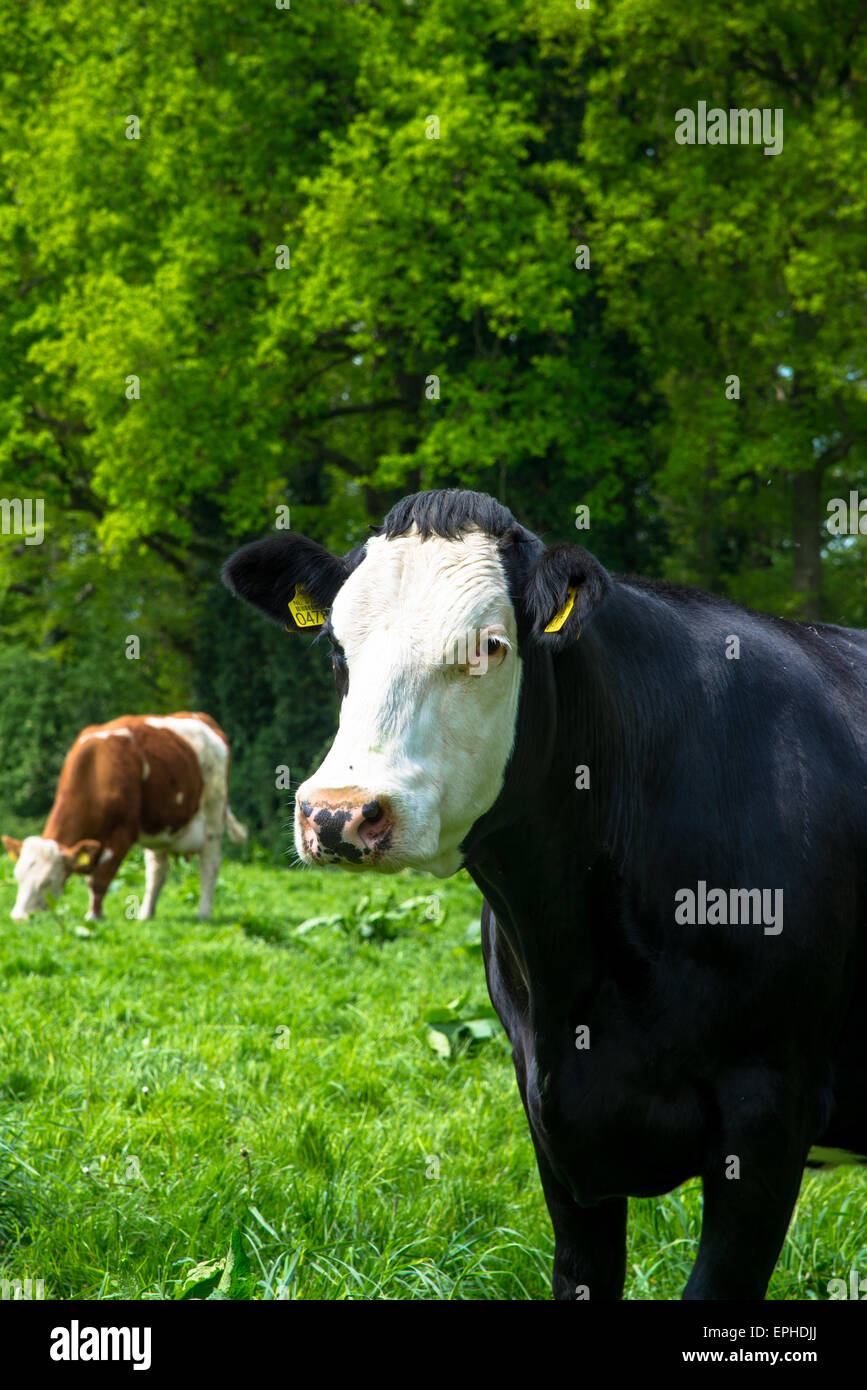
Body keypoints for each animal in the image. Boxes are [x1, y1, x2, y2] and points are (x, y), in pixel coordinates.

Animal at [3, 711, 246, 923]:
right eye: (18, 876)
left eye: (46, 882)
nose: (18, 917)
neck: (95, 769)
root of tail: (202, 718)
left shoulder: (123, 833)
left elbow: (100, 879)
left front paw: (94, 916)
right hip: (160, 827)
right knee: (157, 870)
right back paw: (146, 915)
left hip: (213, 815)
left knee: (209, 865)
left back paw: (203, 913)